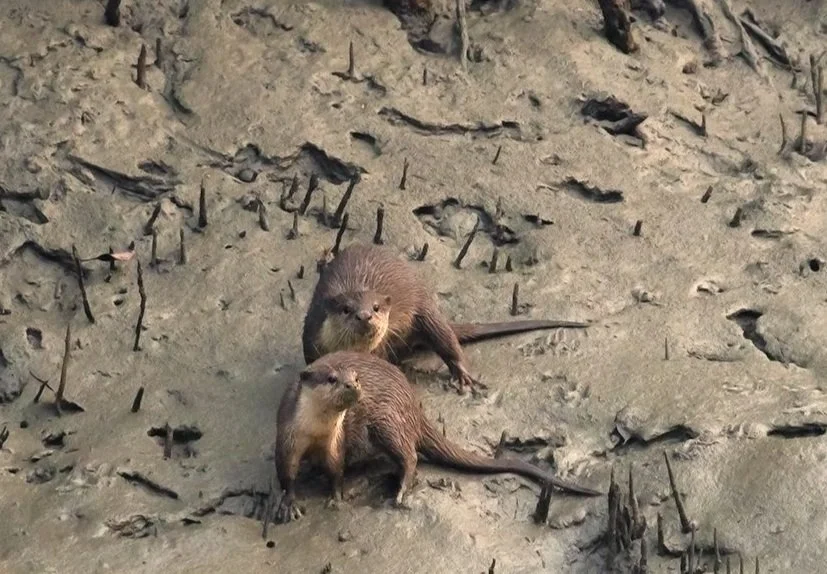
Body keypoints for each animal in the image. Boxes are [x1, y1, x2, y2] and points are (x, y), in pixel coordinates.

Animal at [274, 351, 602, 523]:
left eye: (354, 377)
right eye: (332, 379)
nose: (353, 386)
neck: (315, 432)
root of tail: (412, 404)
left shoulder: (334, 443)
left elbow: (336, 470)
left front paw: (335, 497)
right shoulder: (287, 438)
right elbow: (286, 474)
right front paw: (289, 504)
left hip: (386, 422)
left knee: (410, 456)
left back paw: (400, 491)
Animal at [302, 243, 589, 394]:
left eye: (376, 307)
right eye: (346, 309)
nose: (364, 316)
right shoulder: (312, 337)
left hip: (426, 311)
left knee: (447, 341)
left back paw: (464, 377)